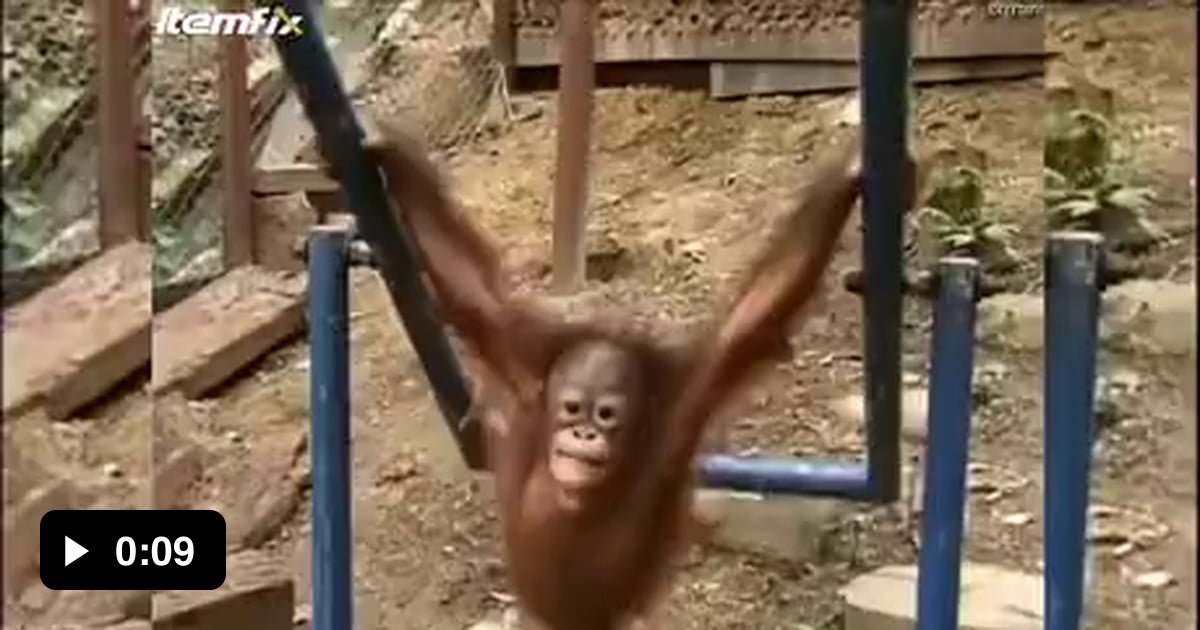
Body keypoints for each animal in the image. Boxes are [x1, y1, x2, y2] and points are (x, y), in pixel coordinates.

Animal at [362, 127, 911, 630]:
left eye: (606, 415)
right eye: (571, 409)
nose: (583, 434)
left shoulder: (682, 403)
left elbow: (752, 317)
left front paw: (854, 171)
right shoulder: (522, 372)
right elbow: (472, 292)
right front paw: (387, 150)